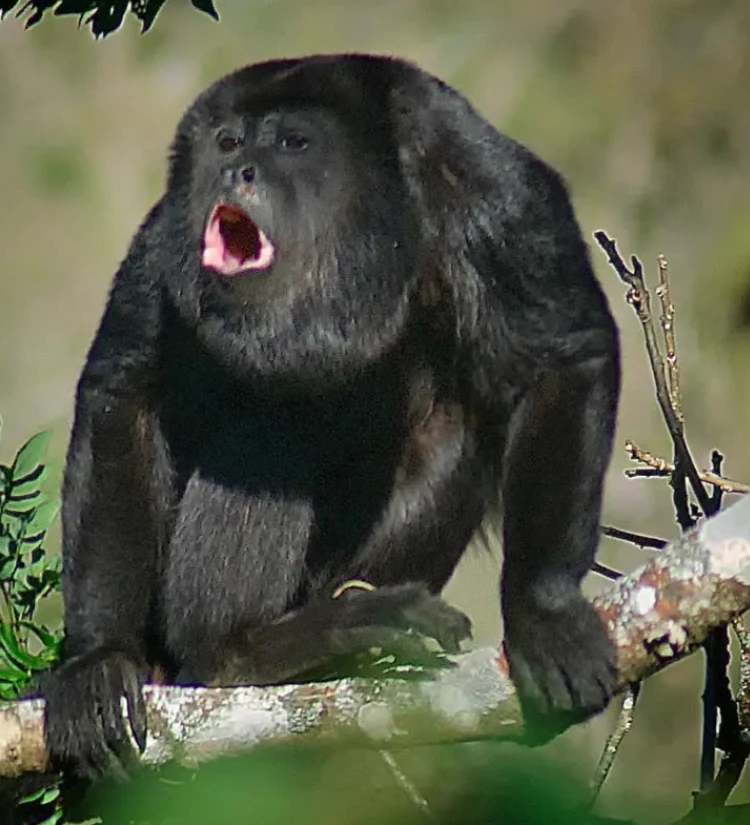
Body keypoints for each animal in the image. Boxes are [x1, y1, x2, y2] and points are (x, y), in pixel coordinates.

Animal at [42, 53, 620, 777]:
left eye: (295, 142)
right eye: (227, 141)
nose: (236, 170)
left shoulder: (489, 186)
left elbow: (562, 355)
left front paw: (545, 612)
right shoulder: (167, 228)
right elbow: (125, 391)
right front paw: (96, 660)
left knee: (456, 429)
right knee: (266, 430)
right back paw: (241, 650)